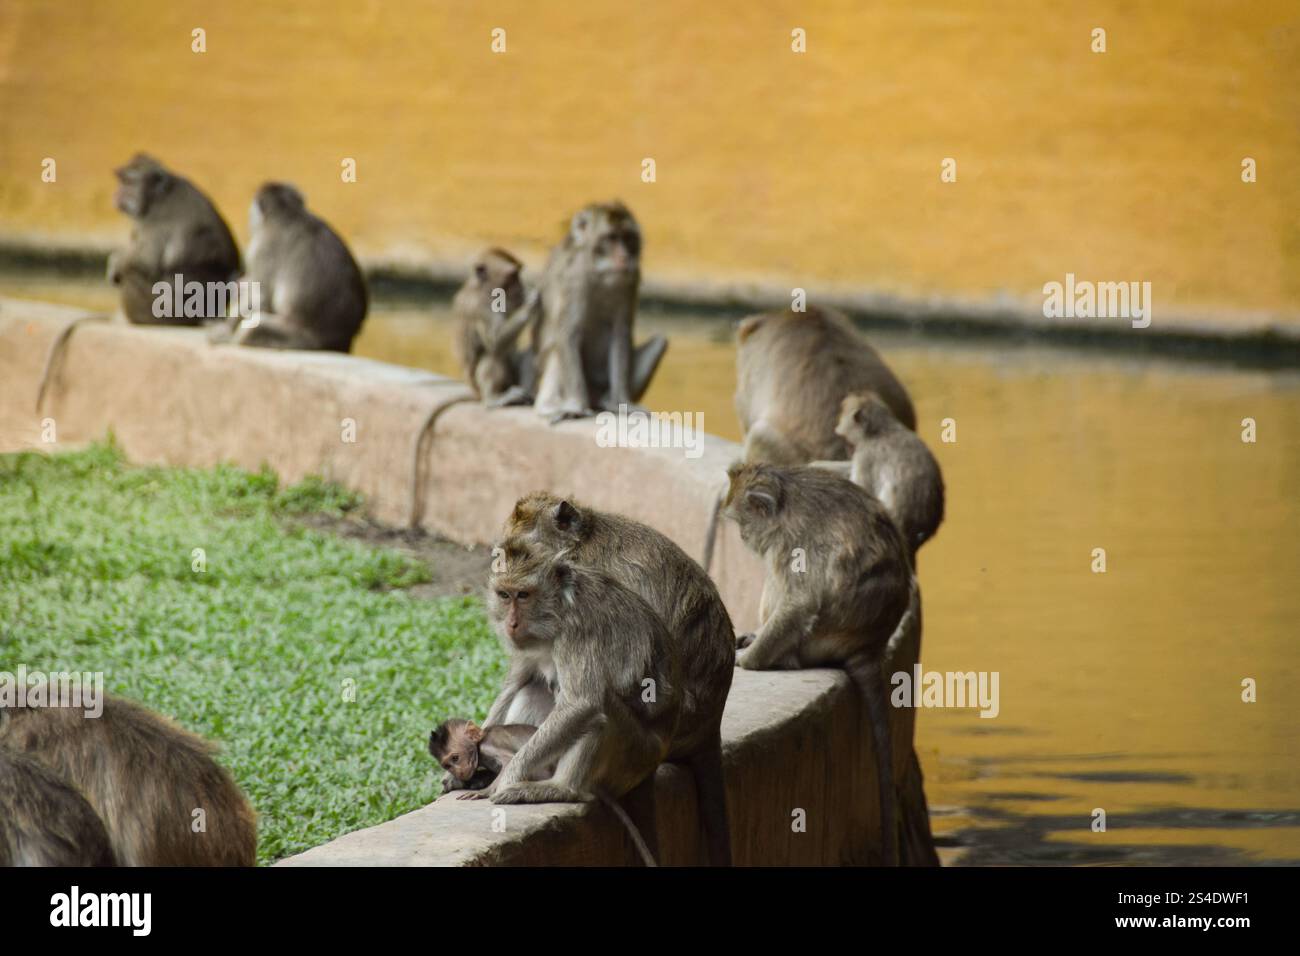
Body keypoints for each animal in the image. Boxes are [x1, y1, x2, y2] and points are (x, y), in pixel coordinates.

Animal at [107, 153, 241, 326]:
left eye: (129, 183)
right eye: (122, 182)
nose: (117, 195)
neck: (158, 196)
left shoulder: (155, 221)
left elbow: (146, 261)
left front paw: (115, 262)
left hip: (162, 311)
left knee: (131, 274)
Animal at [208, 182, 367, 352]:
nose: (251, 217)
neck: (289, 215)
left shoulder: (261, 250)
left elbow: (262, 299)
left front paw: (226, 331)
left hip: (300, 339)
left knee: (254, 327)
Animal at [453, 248, 538, 405]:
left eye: (518, 275)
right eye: (513, 276)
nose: (520, 286)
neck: (482, 288)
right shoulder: (481, 305)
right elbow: (495, 343)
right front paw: (529, 306)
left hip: (512, 380)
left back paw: (528, 397)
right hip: (479, 389)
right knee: (492, 355)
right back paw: (494, 399)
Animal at [526, 201, 668, 422]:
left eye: (628, 238)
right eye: (611, 238)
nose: (624, 257)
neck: (600, 274)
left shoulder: (631, 279)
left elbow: (621, 332)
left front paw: (622, 403)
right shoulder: (574, 279)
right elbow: (567, 333)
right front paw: (576, 405)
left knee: (660, 341)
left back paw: (606, 401)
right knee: (556, 347)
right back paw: (549, 406)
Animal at [721, 462, 914, 865]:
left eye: (742, 523)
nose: (744, 537)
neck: (786, 498)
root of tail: (869, 643)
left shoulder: (789, 540)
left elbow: (800, 601)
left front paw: (748, 662)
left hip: (817, 641)